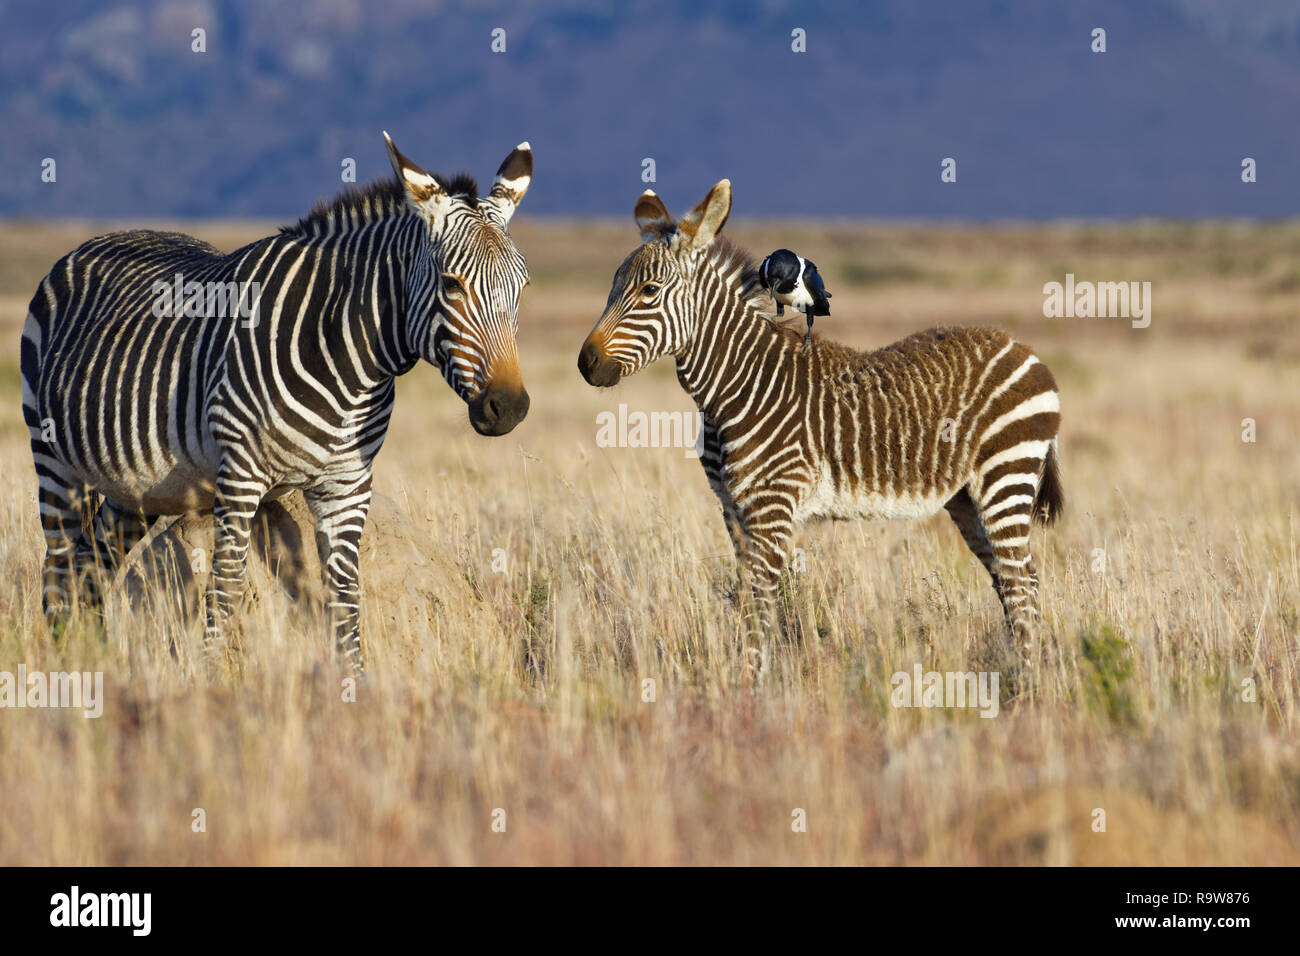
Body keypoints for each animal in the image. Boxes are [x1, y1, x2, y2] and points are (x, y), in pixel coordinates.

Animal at [22, 132, 534, 673]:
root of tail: (97, 239)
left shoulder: (347, 486)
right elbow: (225, 590)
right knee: (60, 565)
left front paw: (355, 683)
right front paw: (210, 678)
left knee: (93, 565)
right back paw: (68, 663)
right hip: (53, 460)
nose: (509, 406)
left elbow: (346, 598)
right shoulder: (240, 478)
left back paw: (94, 654)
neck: (348, 361)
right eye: (451, 284)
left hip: (132, 487)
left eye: (522, 288)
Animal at [578, 180, 1063, 664]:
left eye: (649, 291)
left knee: (1019, 584)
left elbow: (758, 608)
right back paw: (1023, 668)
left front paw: (751, 679)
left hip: (1005, 474)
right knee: (1018, 578)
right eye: (613, 286)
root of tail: (1023, 348)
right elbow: (747, 599)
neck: (739, 384)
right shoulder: (732, 507)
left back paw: (1026, 677)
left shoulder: (772, 504)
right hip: (967, 497)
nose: (587, 364)